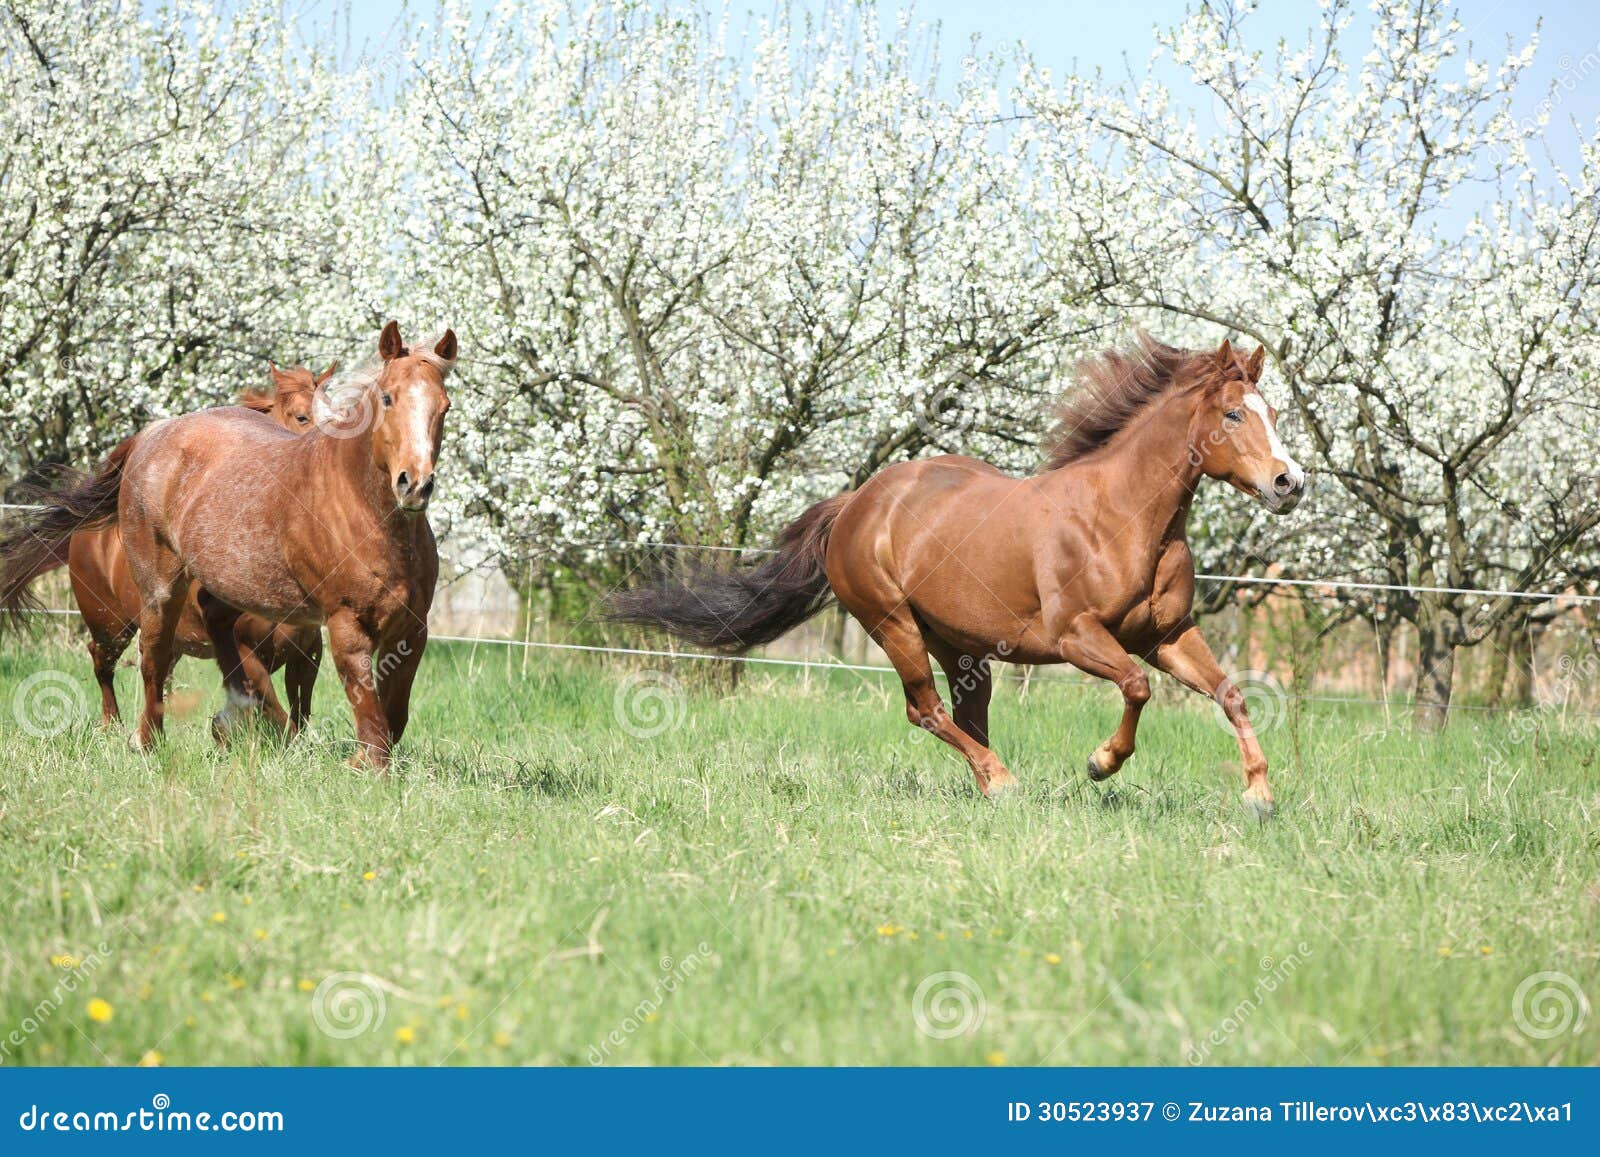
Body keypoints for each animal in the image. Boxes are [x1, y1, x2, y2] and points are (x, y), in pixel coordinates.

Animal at [1, 364, 335, 732]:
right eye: (302, 417)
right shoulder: (244, 648)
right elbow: (271, 706)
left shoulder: (307, 653)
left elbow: (299, 715)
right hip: (111, 624)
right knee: (103, 660)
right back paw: (113, 723)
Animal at [610, 336, 1306, 817]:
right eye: (1235, 415)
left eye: (1272, 411)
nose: (1289, 483)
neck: (1124, 518)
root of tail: (857, 502)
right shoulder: (1077, 637)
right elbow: (1136, 688)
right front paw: (1100, 764)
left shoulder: (1167, 636)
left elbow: (1232, 695)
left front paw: (1260, 798)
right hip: (893, 625)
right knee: (925, 710)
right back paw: (1004, 782)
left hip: (960, 643)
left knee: (967, 715)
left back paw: (991, 785)